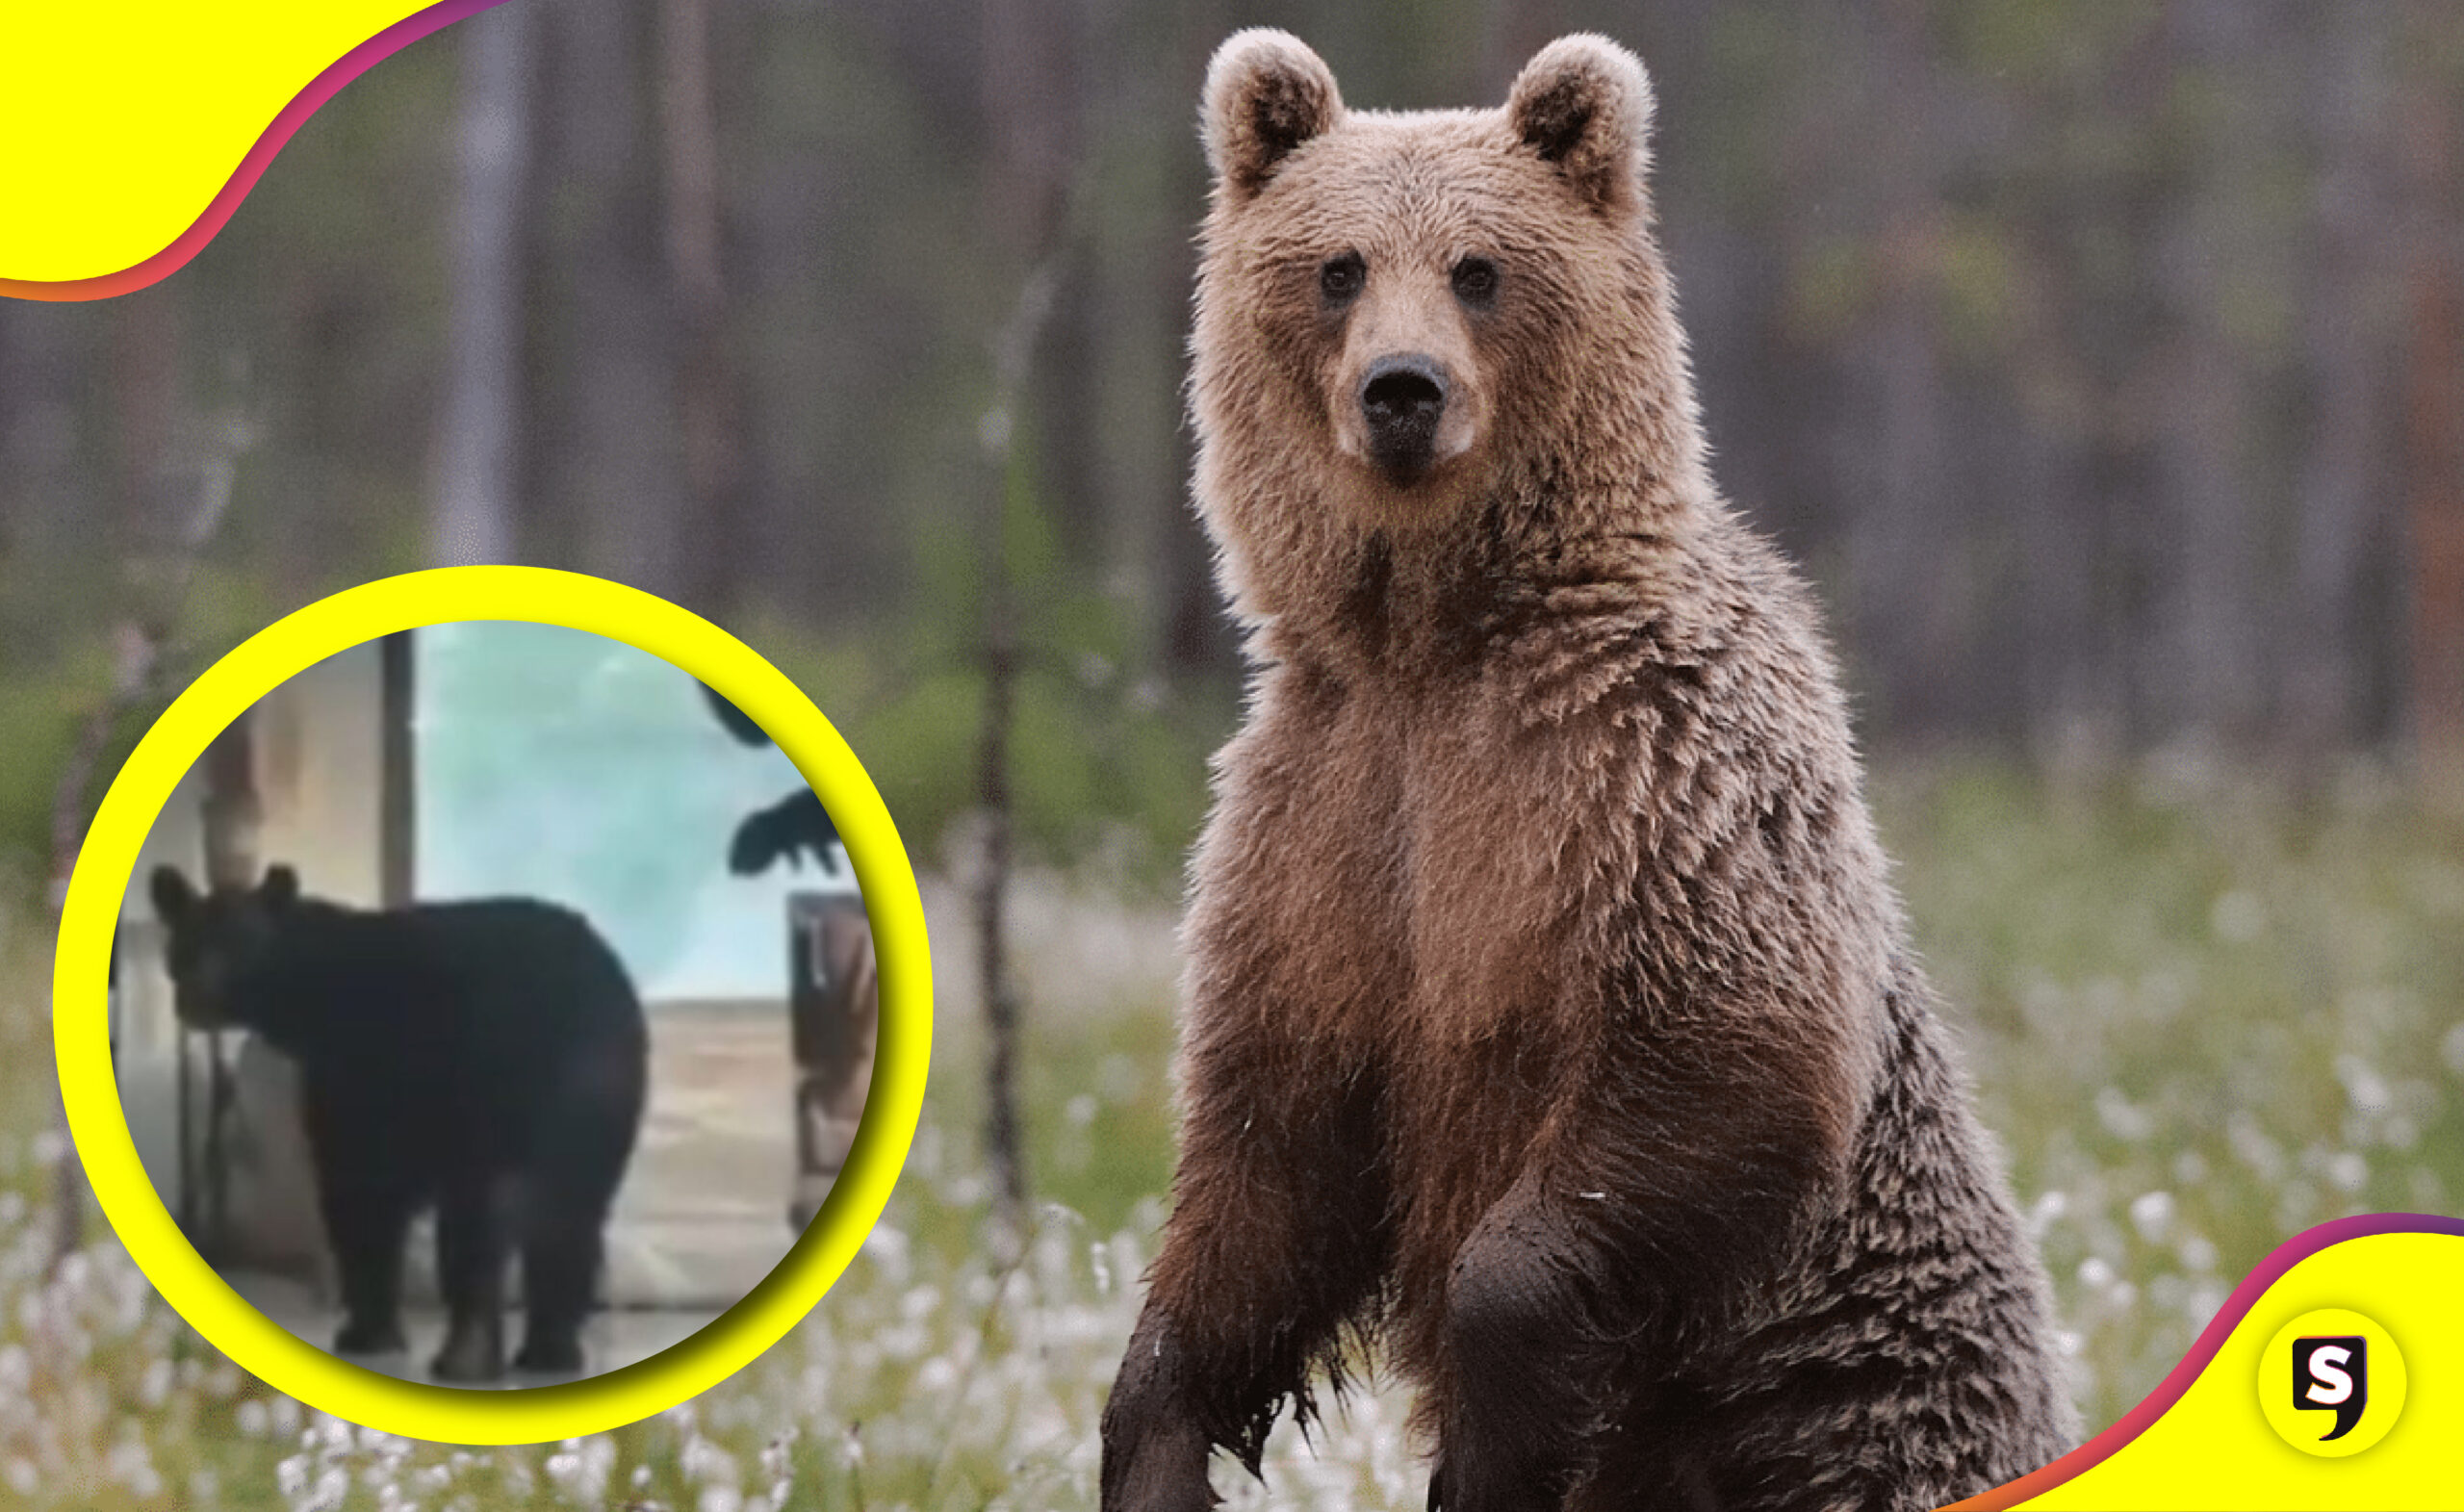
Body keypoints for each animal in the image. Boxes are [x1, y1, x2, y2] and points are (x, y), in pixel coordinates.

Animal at [147, 863, 648, 1384]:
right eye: (186, 945)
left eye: (239, 944)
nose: (196, 996)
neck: (309, 996)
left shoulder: (368, 1074)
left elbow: (361, 1191)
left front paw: (366, 1332)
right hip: (602, 1107)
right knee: (572, 1218)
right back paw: (551, 1352)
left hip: (495, 1083)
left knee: (482, 1213)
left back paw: (466, 1357)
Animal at [1098, 31, 2077, 1512]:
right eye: (1338, 266)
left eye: (1478, 267)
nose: (1403, 390)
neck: (1437, 644)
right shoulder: (1320, 816)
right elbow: (1272, 1157)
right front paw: (1155, 1429)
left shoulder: (1648, 778)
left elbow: (1723, 1056)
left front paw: (1494, 1447)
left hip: (1858, 1412)